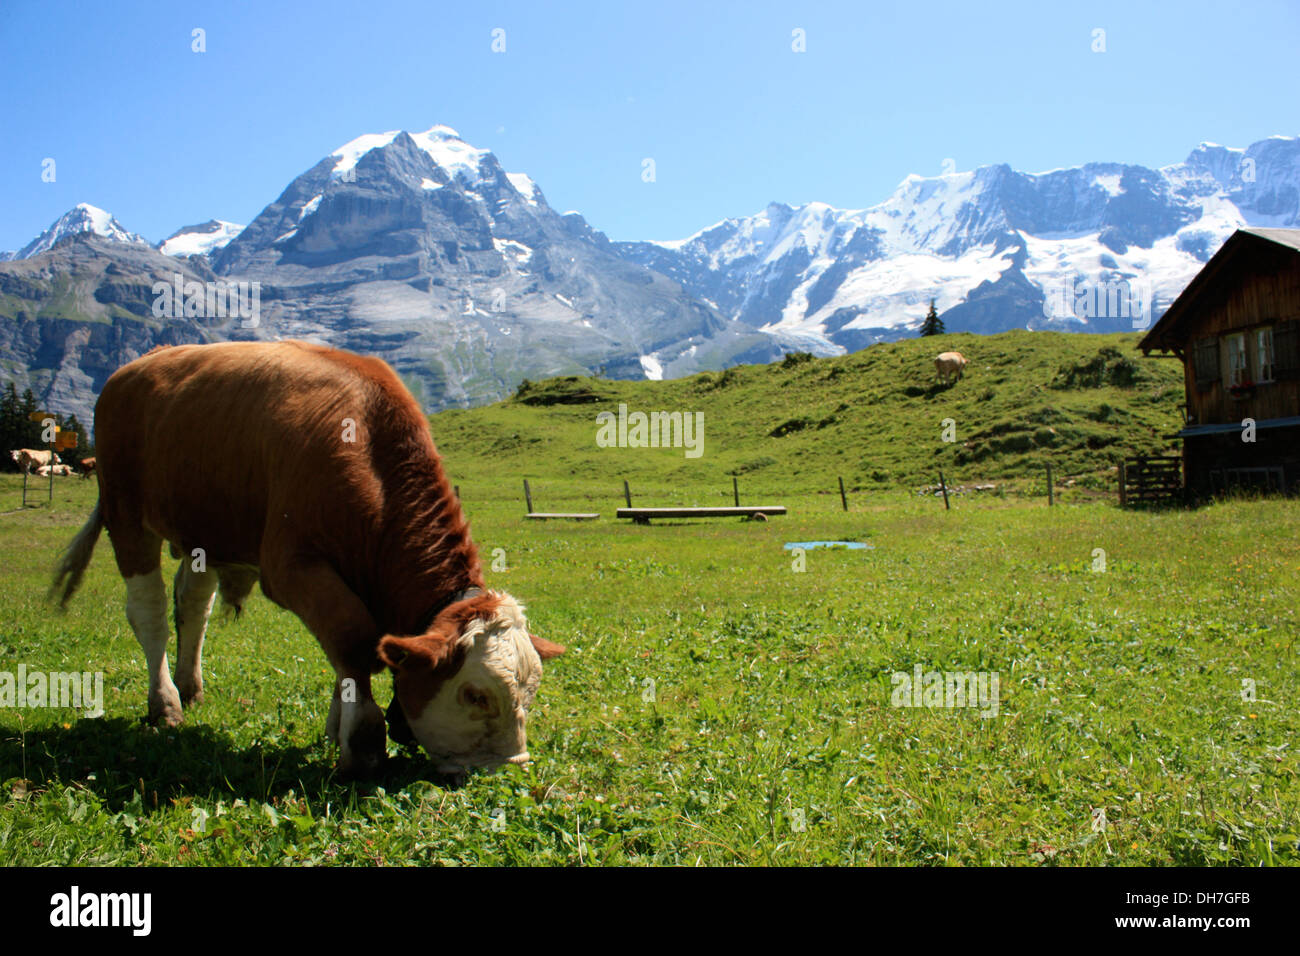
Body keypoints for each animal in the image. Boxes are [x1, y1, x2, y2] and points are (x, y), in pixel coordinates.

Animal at [51, 341, 564, 777]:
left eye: (531, 692)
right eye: (475, 695)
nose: (511, 766)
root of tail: (136, 366)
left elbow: (355, 645)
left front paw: (337, 724)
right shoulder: (290, 565)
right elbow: (354, 638)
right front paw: (362, 740)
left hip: (203, 530)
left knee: (193, 607)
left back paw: (190, 687)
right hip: (125, 511)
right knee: (150, 612)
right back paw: (165, 704)